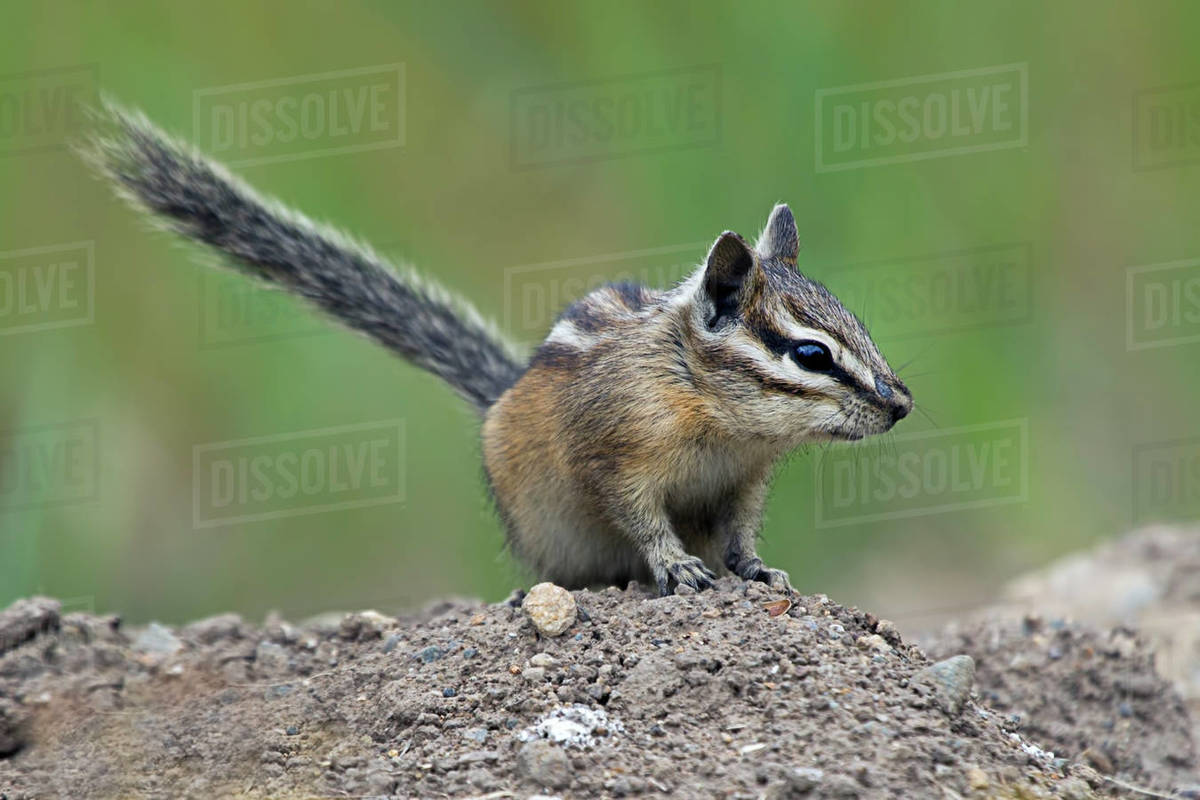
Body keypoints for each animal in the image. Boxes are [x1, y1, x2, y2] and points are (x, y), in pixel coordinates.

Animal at [84, 101, 911, 597]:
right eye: (811, 355)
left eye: (860, 327)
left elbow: (738, 533)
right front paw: (676, 566)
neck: (709, 408)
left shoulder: (744, 482)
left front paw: (755, 569)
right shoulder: (614, 452)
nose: (901, 404)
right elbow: (638, 516)